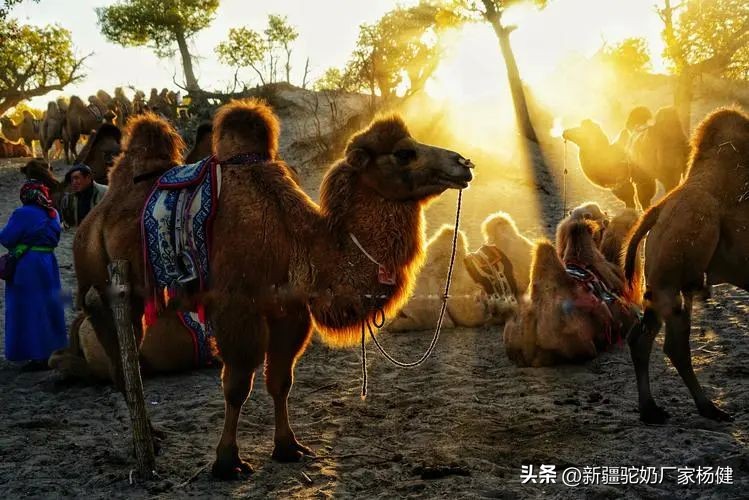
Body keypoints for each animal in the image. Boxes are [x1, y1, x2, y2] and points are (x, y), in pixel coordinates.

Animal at [78, 99, 473, 478]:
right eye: (404, 152)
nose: (464, 162)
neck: (295, 244)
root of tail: (96, 216)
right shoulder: (238, 310)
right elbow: (237, 386)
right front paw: (227, 463)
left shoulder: (291, 312)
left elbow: (281, 380)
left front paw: (288, 448)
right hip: (105, 286)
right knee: (120, 360)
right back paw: (147, 442)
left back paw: (153, 437)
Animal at [623, 107, 749, 425]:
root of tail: (656, 211)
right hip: (672, 273)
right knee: (673, 344)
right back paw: (705, 409)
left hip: (660, 279)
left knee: (646, 337)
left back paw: (656, 409)